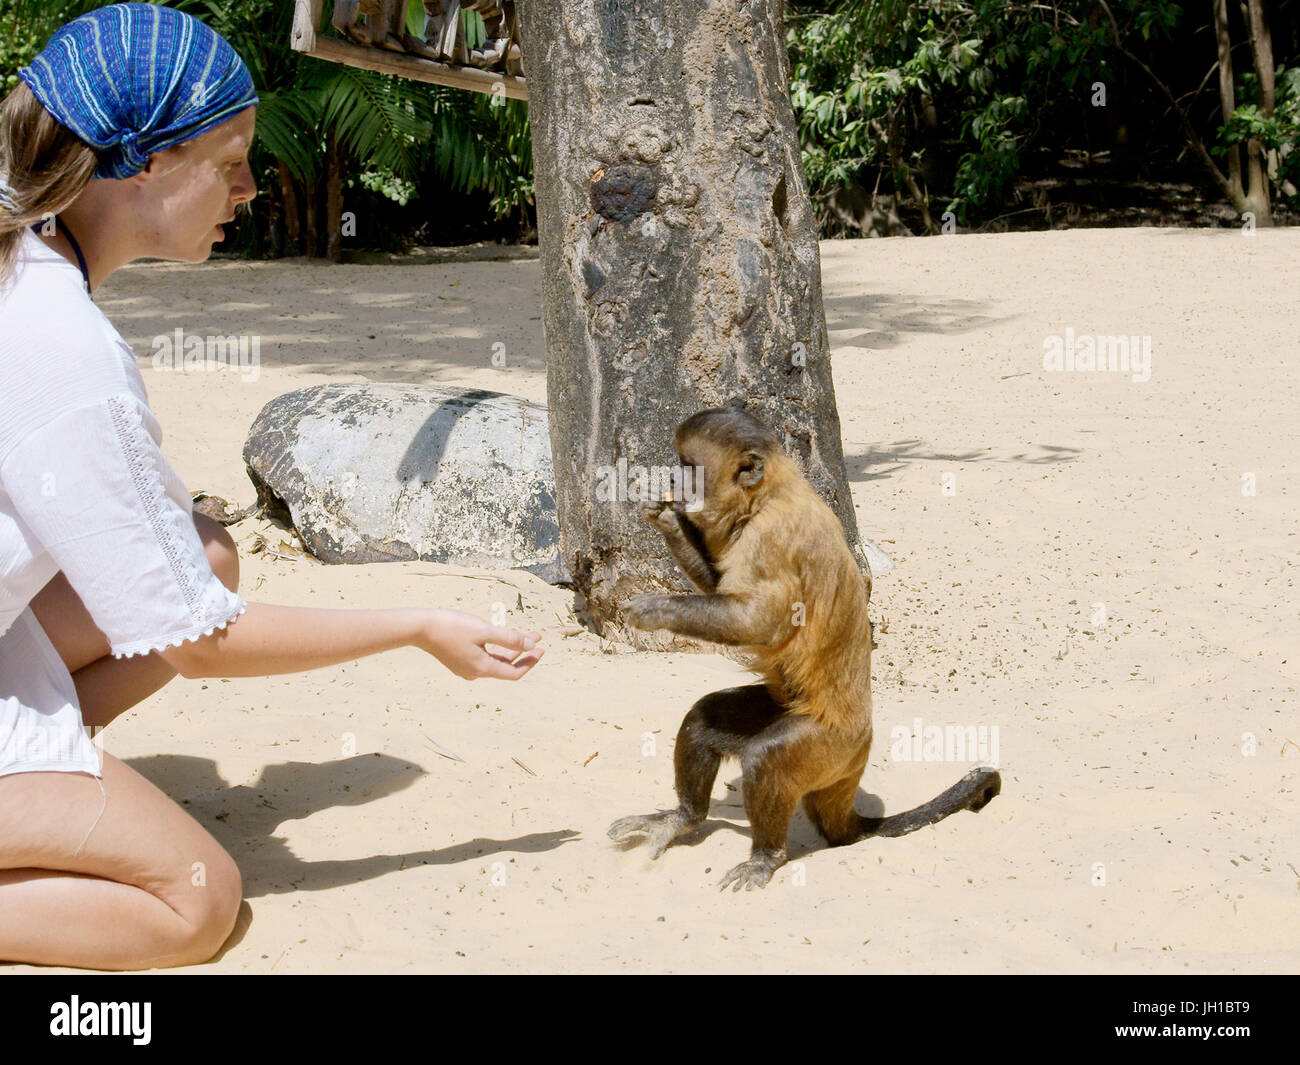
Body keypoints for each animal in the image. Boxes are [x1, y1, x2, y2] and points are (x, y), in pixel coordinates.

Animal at [609, 406, 1001, 890]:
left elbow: (759, 623)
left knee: (766, 759)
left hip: (832, 750)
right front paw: (668, 520)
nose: (672, 478)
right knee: (704, 720)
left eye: (689, 466)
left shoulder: (771, 537)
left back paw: (766, 856)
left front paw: (656, 608)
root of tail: (860, 753)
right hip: (793, 714)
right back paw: (683, 818)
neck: (766, 497)